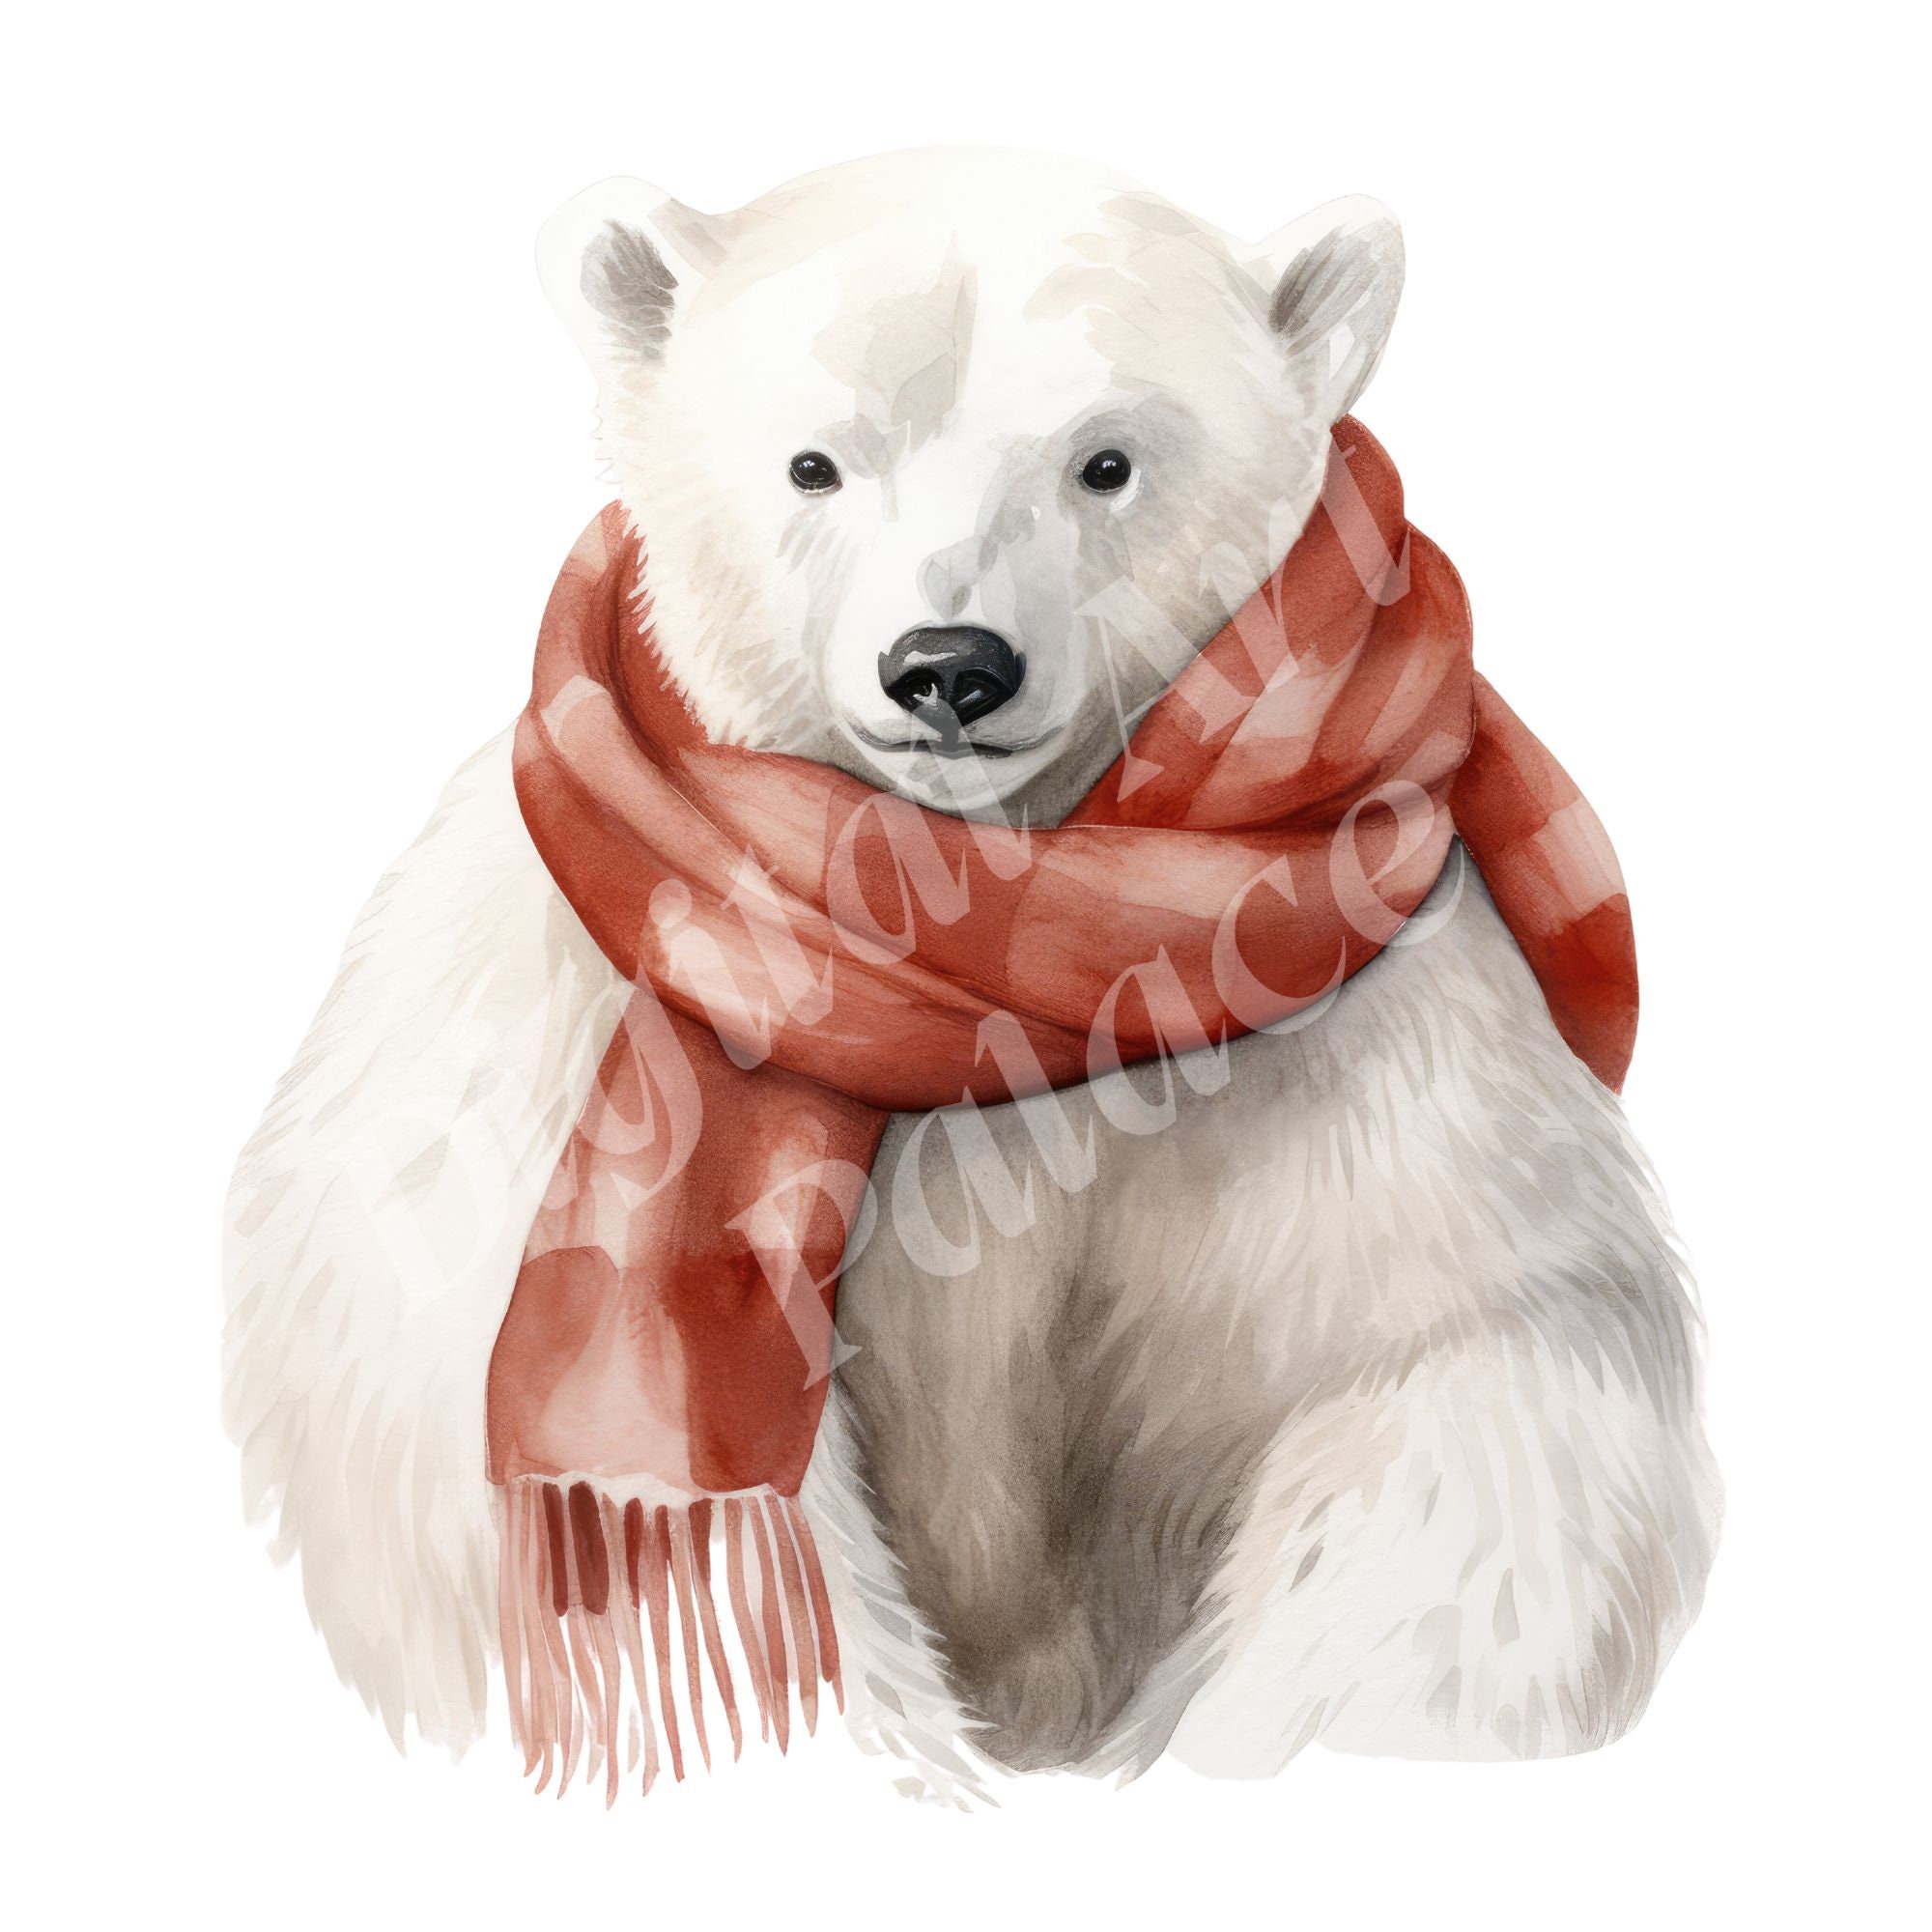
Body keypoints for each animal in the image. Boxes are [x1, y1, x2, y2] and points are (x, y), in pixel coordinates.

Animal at [224, 147, 1719, 1802]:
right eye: (815, 464)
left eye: (1107, 461)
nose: (950, 666)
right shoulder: (536, 1055)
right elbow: (703, 1563)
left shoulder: (1338, 1072)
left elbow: (1464, 1379)